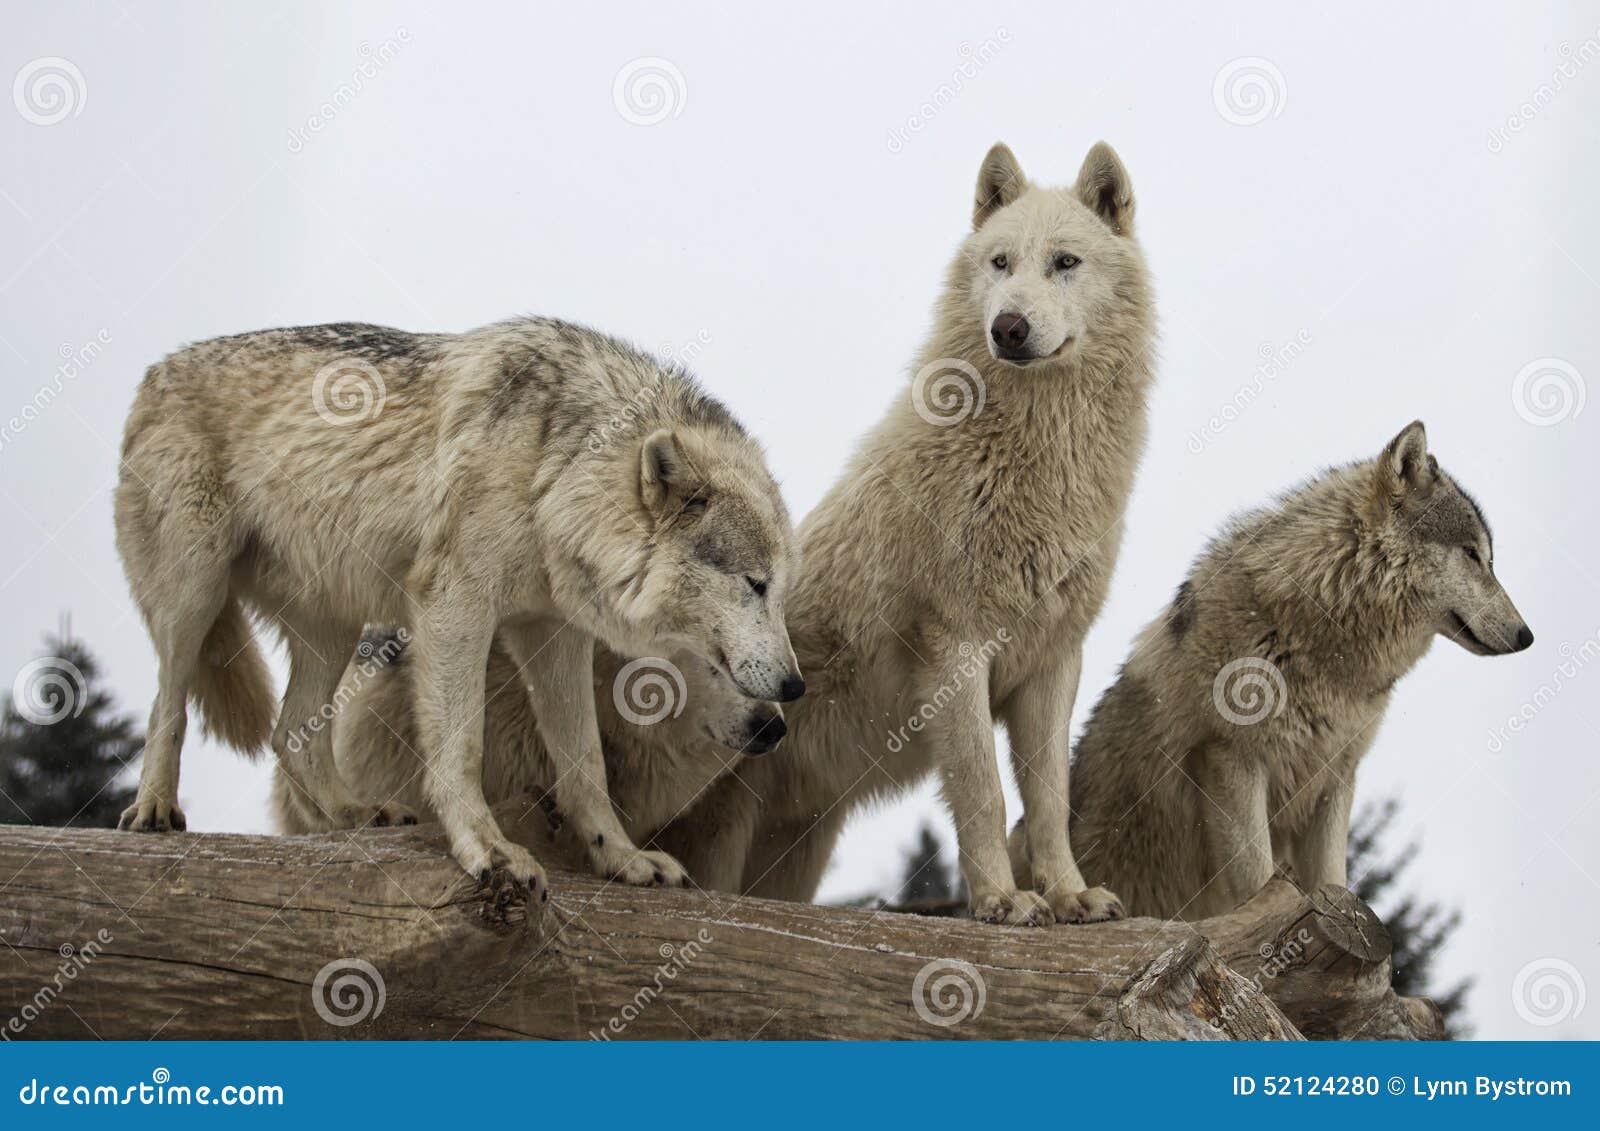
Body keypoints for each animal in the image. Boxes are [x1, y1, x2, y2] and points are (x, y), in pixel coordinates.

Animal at [653, 141, 1157, 925]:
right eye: (1001, 263)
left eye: (1065, 262)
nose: (1008, 327)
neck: (1034, 461)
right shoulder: (956, 647)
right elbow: (985, 794)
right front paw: (1002, 901)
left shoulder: (1054, 662)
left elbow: (1049, 800)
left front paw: (1070, 894)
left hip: (795, 852)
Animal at [1009, 422, 1534, 920]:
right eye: (1472, 554)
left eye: (1488, 558)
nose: (1527, 636)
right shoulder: (1232, 760)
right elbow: (1259, 881)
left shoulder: (1336, 778)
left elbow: (1334, 883)